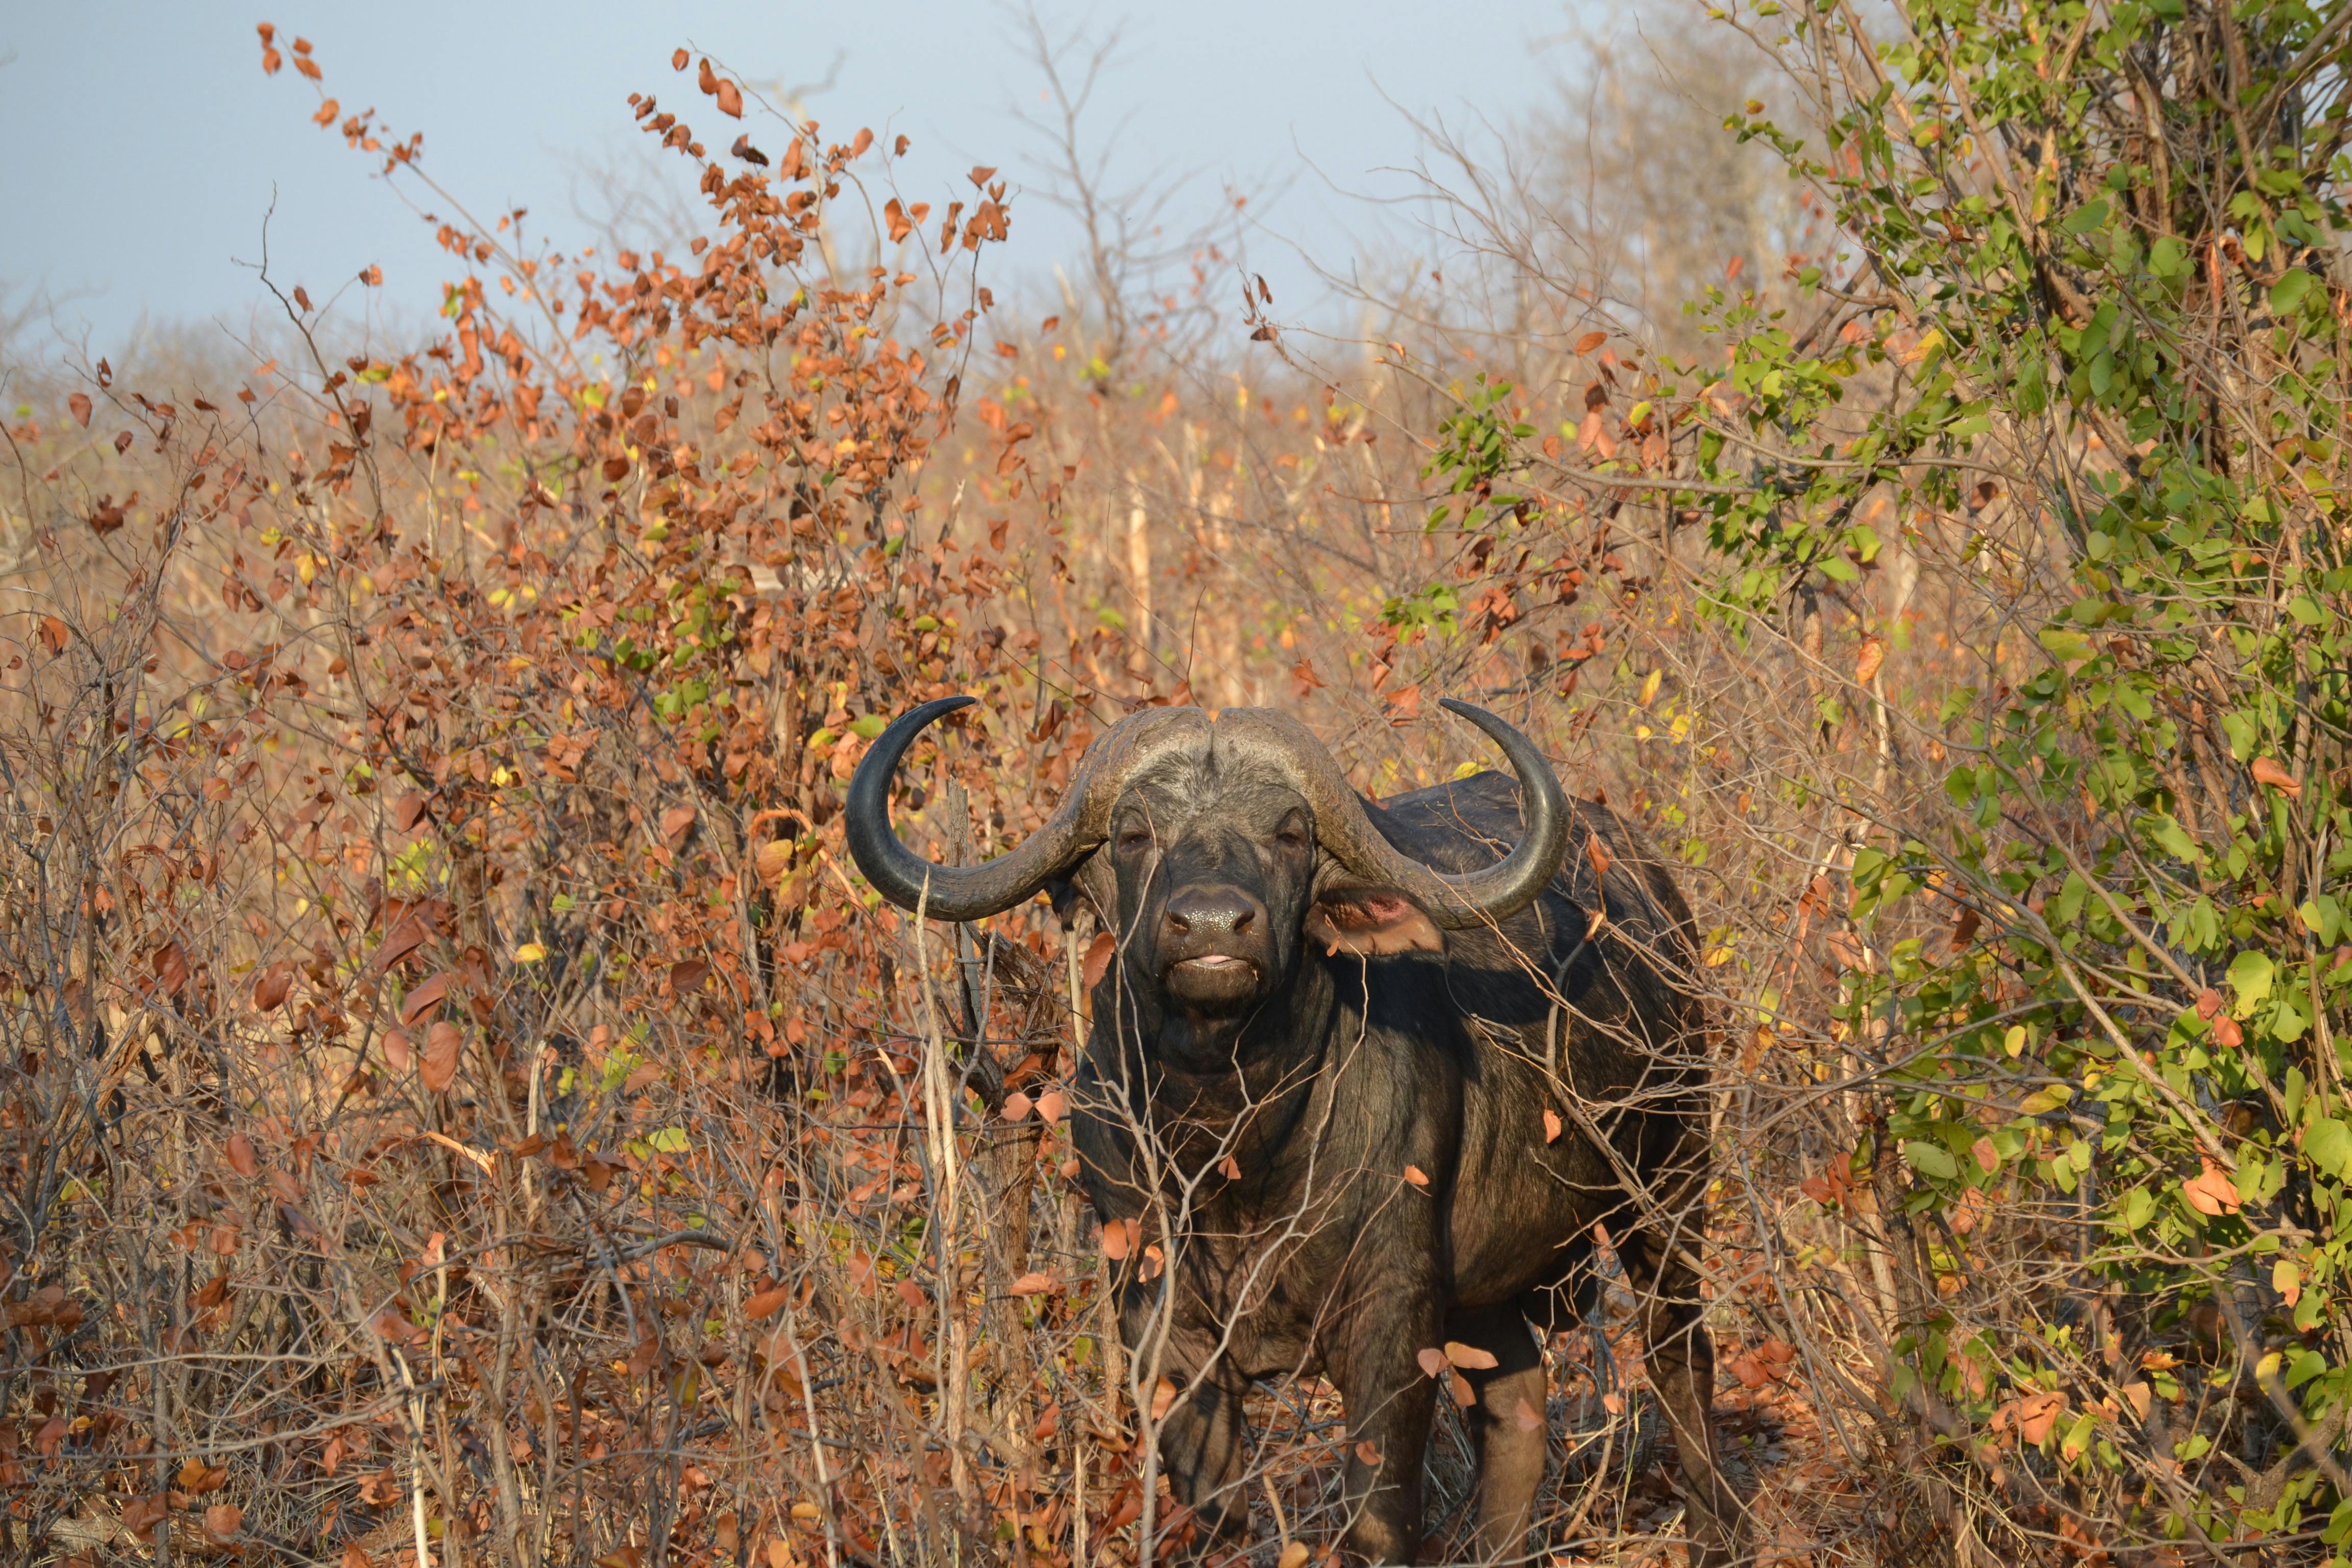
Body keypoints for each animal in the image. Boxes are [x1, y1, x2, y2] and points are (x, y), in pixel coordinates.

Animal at [847, 696, 1735, 1565]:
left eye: (1289, 833)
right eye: (1134, 833)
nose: (1212, 927)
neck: (1233, 1147)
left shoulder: (1392, 1315)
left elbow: (1375, 1518)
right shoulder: (1163, 1331)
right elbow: (1217, 1519)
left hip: (1671, 1183)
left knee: (1678, 1356)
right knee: (1517, 1408)